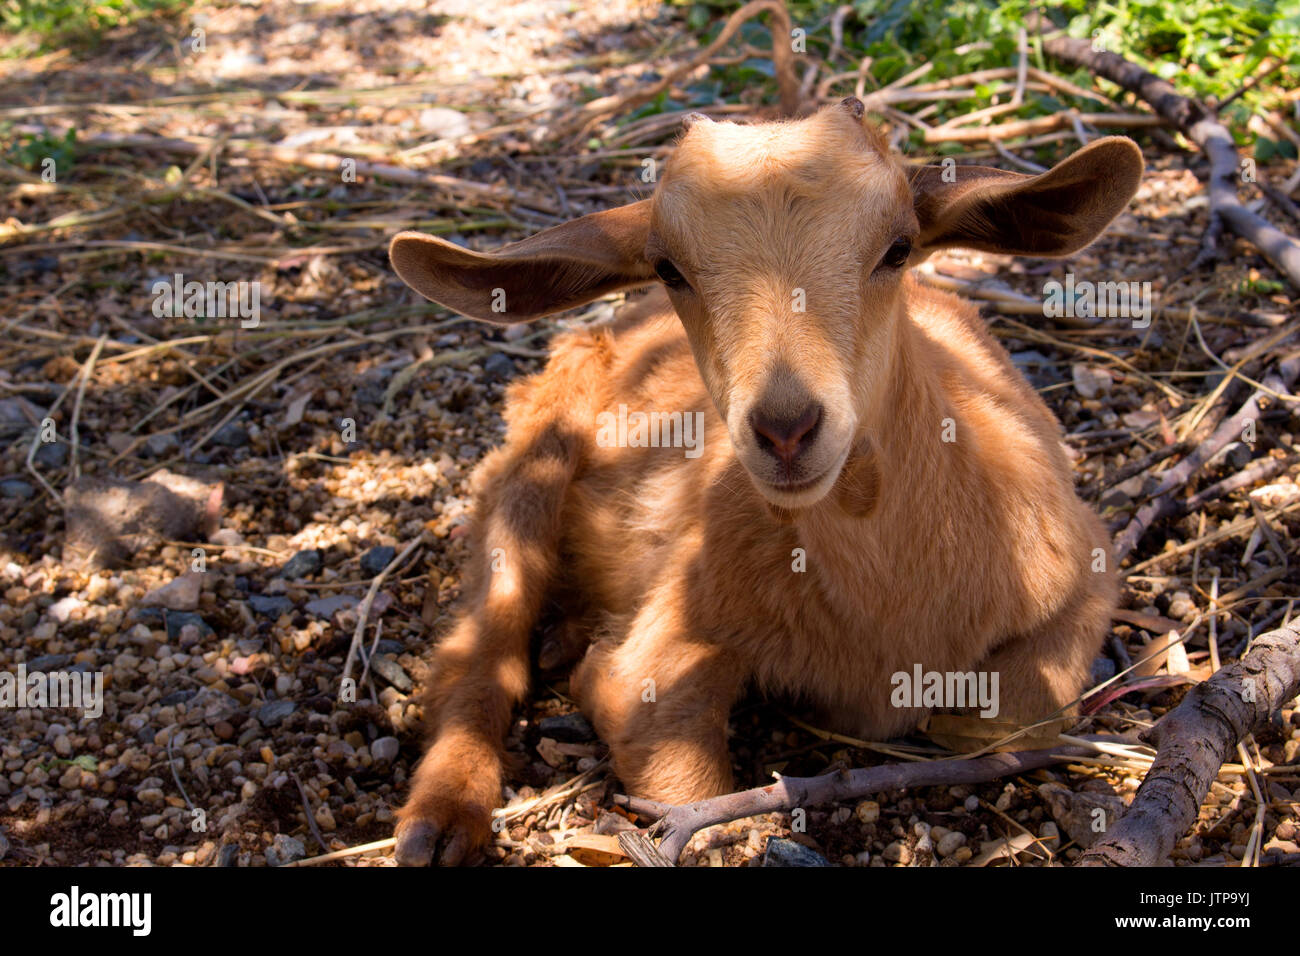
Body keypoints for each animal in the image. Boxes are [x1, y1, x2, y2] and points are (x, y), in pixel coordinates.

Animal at [387, 98, 1141, 865]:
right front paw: (600, 680)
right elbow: (659, 733)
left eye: (898, 248)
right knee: (480, 646)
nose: (786, 429)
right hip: (535, 451)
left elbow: (1019, 713)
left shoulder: (1087, 568)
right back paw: (441, 820)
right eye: (669, 267)